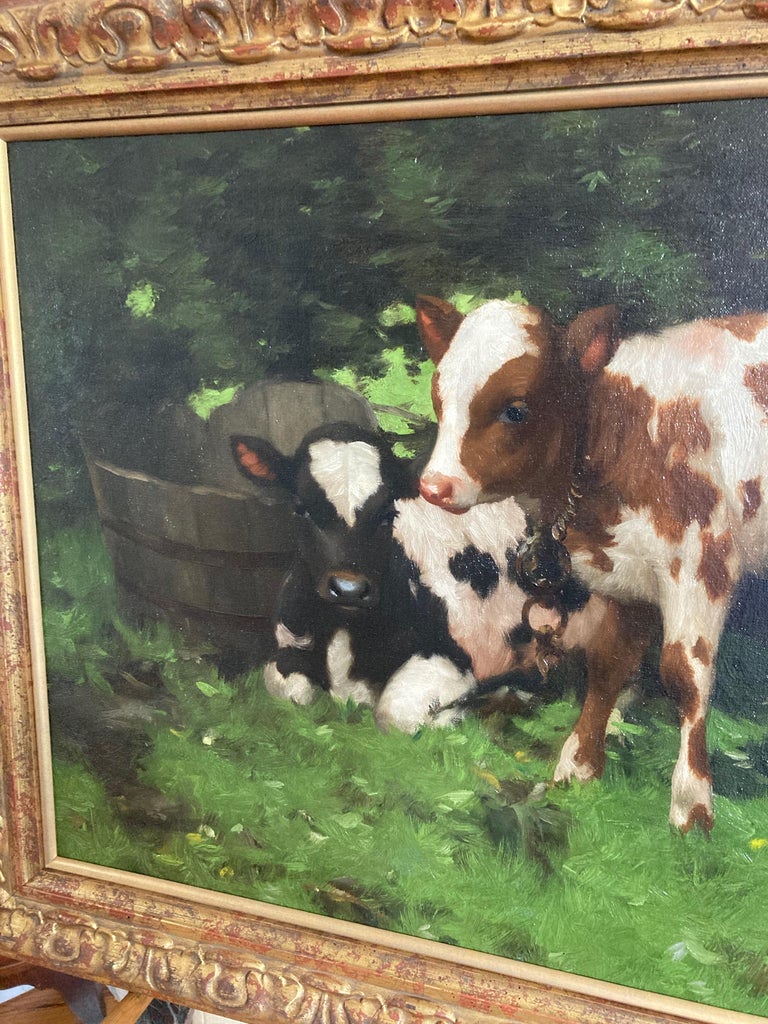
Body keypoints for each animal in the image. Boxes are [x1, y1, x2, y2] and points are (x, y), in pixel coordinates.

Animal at [232, 422, 543, 733]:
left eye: (388, 514)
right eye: (301, 508)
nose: (348, 589)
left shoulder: (451, 658)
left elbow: (394, 714)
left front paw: (461, 713)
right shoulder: (289, 644)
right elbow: (288, 690)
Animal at [416, 295, 768, 832]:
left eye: (516, 409)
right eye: (439, 396)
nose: (435, 486)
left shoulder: (701, 565)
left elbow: (683, 676)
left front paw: (691, 807)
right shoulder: (626, 578)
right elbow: (608, 663)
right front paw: (578, 767)